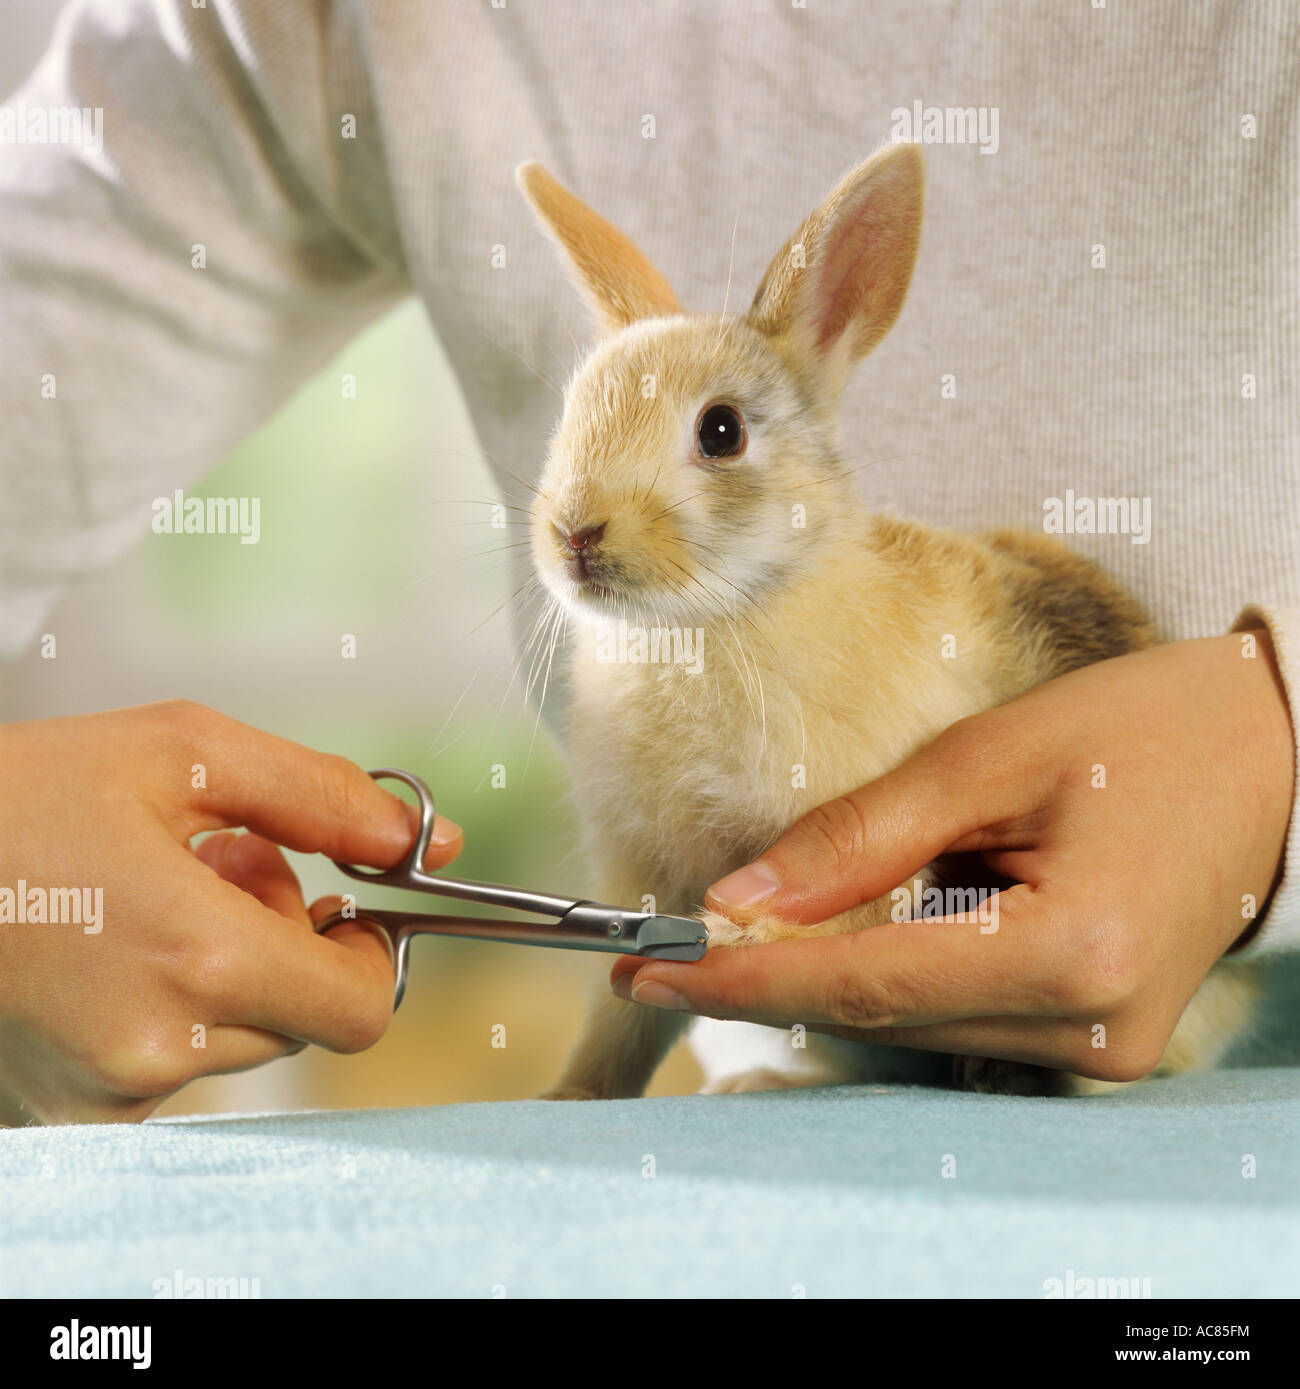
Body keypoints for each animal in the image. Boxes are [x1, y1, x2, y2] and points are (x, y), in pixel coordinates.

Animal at [515, 142, 1258, 1100]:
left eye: (721, 431)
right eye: (570, 413)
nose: (574, 533)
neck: (721, 612)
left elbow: (850, 916)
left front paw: (743, 936)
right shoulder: (640, 869)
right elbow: (620, 1024)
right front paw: (569, 1096)